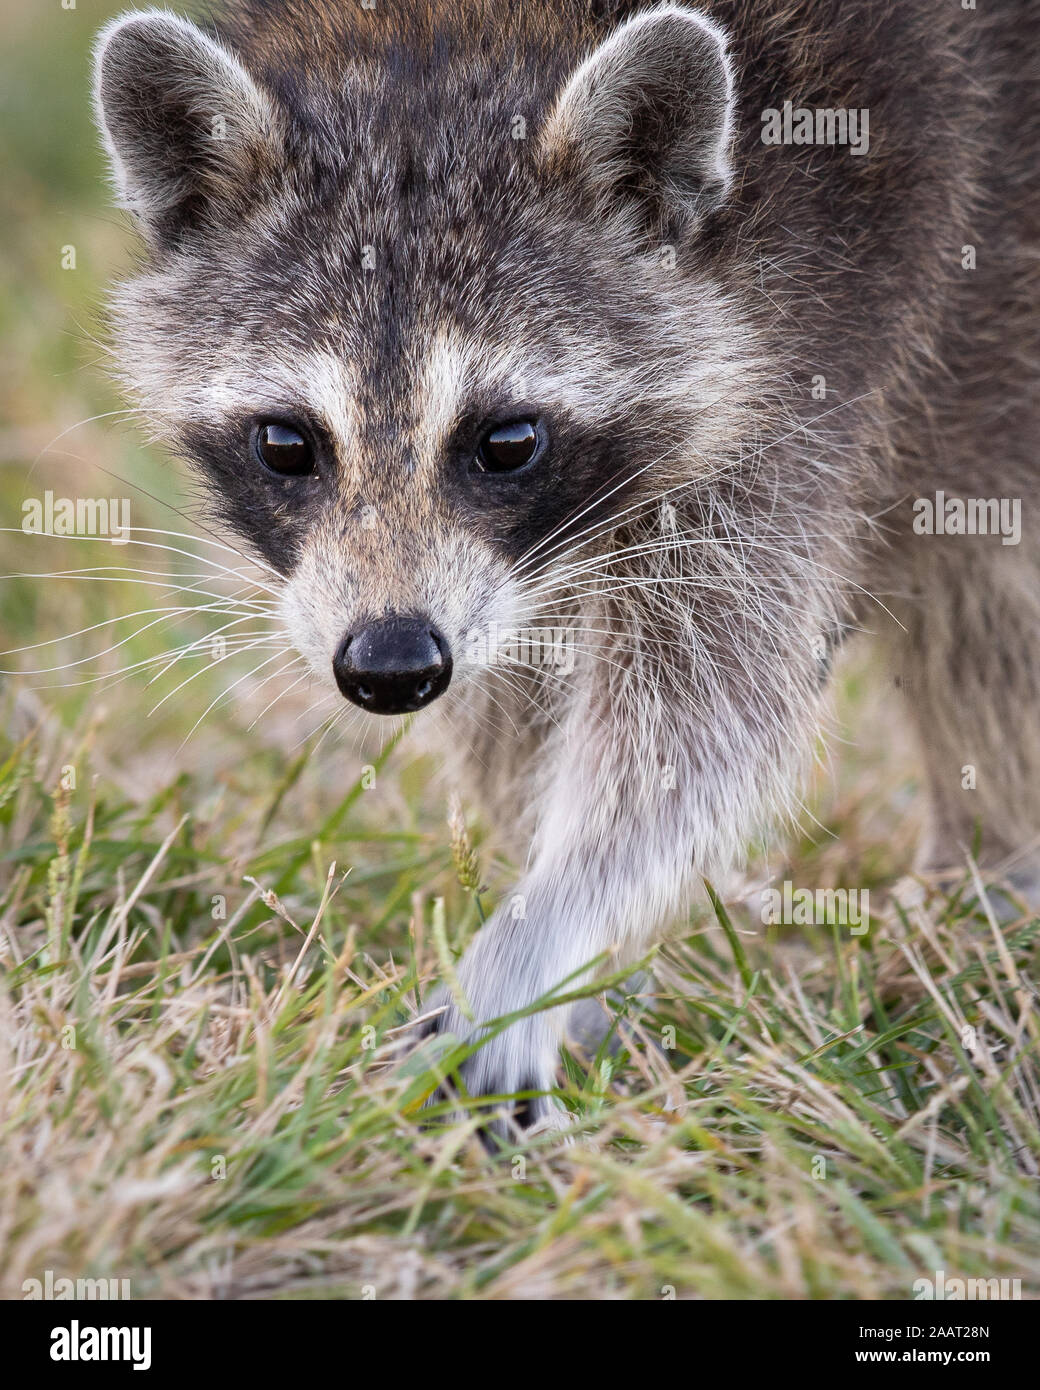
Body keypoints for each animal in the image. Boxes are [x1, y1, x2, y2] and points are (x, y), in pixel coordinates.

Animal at [93, 1, 1040, 1130]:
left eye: (507, 441)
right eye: (285, 444)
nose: (388, 666)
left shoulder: (823, 327)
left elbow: (706, 716)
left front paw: (541, 936)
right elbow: (514, 708)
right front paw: (583, 964)